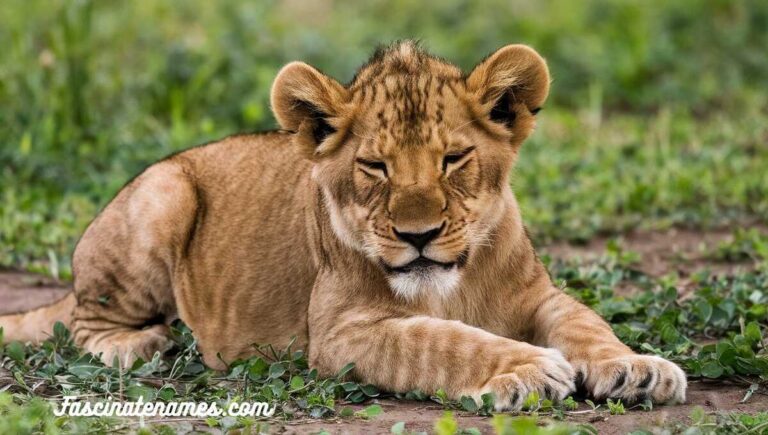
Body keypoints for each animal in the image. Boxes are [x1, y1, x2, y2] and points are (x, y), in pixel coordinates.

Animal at [0, 41, 686, 410]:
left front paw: (636, 367)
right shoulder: (340, 334)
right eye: (375, 167)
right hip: (162, 195)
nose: (418, 236)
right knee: (83, 321)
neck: (453, 283)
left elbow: (586, 322)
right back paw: (143, 344)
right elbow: (444, 341)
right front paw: (529, 370)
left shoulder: (538, 295)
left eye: (453, 159)